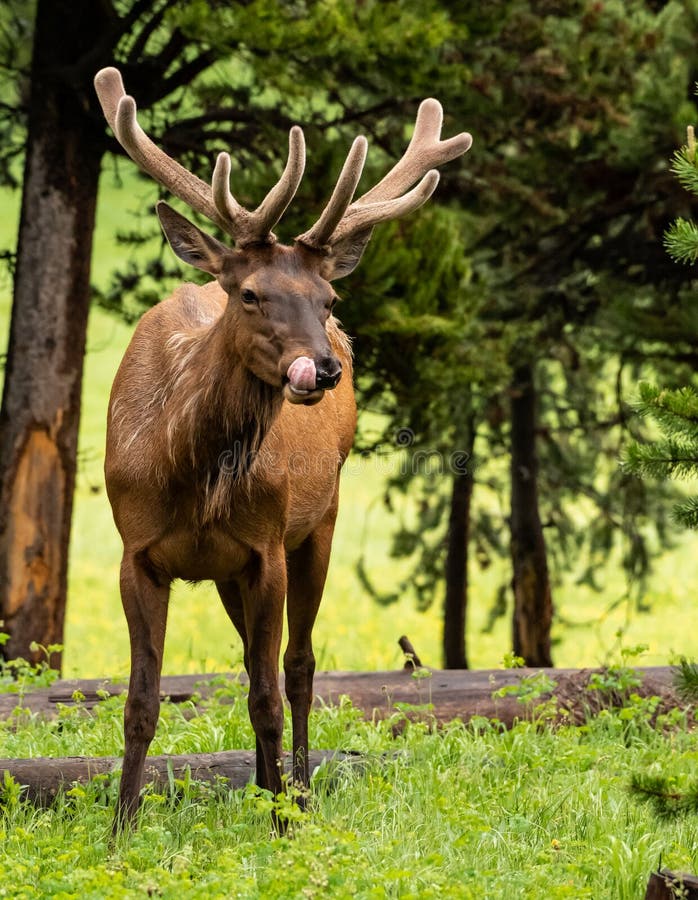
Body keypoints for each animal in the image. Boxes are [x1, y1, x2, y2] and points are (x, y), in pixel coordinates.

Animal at [93, 66, 472, 830]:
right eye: (249, 293)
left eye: (327, 299)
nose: (323, 368)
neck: (190, 478)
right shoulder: (136, 551)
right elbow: (142, 700)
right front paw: (121, 827)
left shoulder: (265, 546)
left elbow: (269, 692)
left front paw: (281, 823)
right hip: (229, 572)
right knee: (252, 661)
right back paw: (270, 785)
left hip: (318, 521)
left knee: (295, 666)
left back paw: (291, 790)